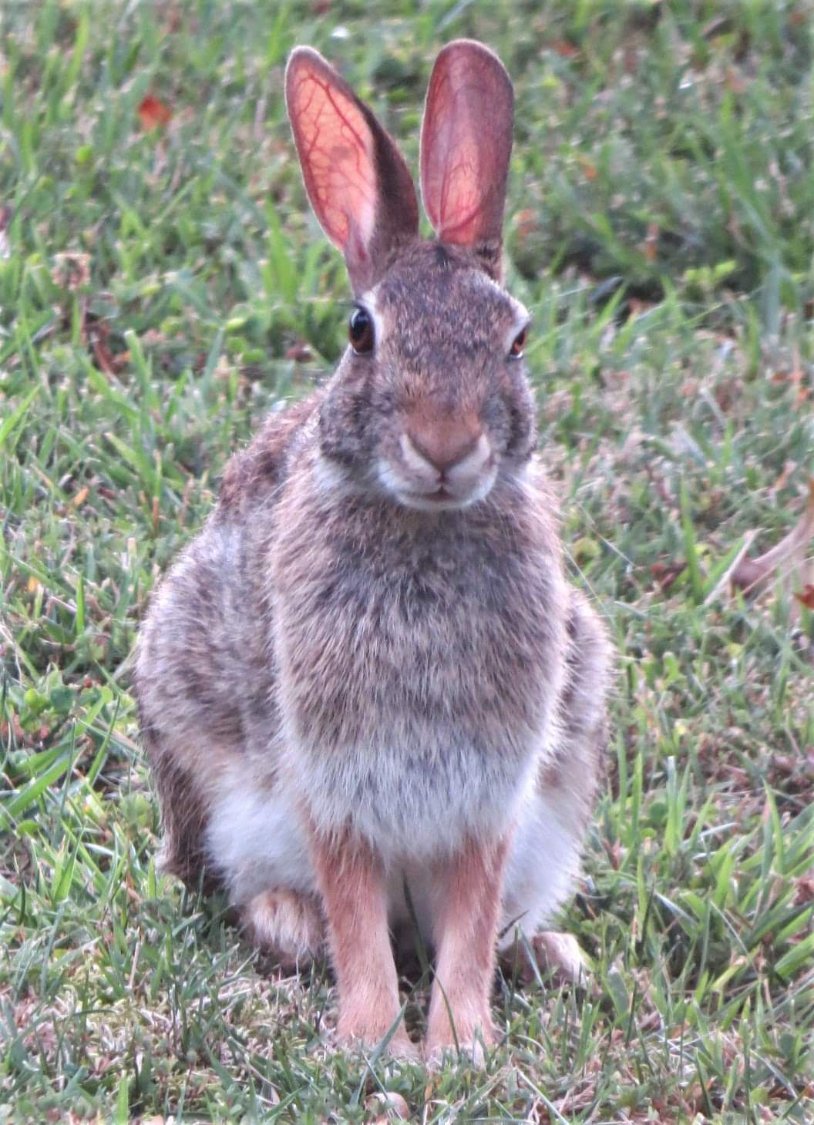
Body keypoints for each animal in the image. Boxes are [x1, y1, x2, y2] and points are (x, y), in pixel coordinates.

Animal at [134, 39, 612, 1063]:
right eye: (362, 333)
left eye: (517, 340)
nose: (444, 445)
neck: (422, 525)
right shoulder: (334, 776)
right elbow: (355, 906)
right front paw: (371, 1041)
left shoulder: (492, 786)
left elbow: (469, 911)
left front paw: (461, 1045)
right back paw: (293, 924)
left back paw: (551, 955)